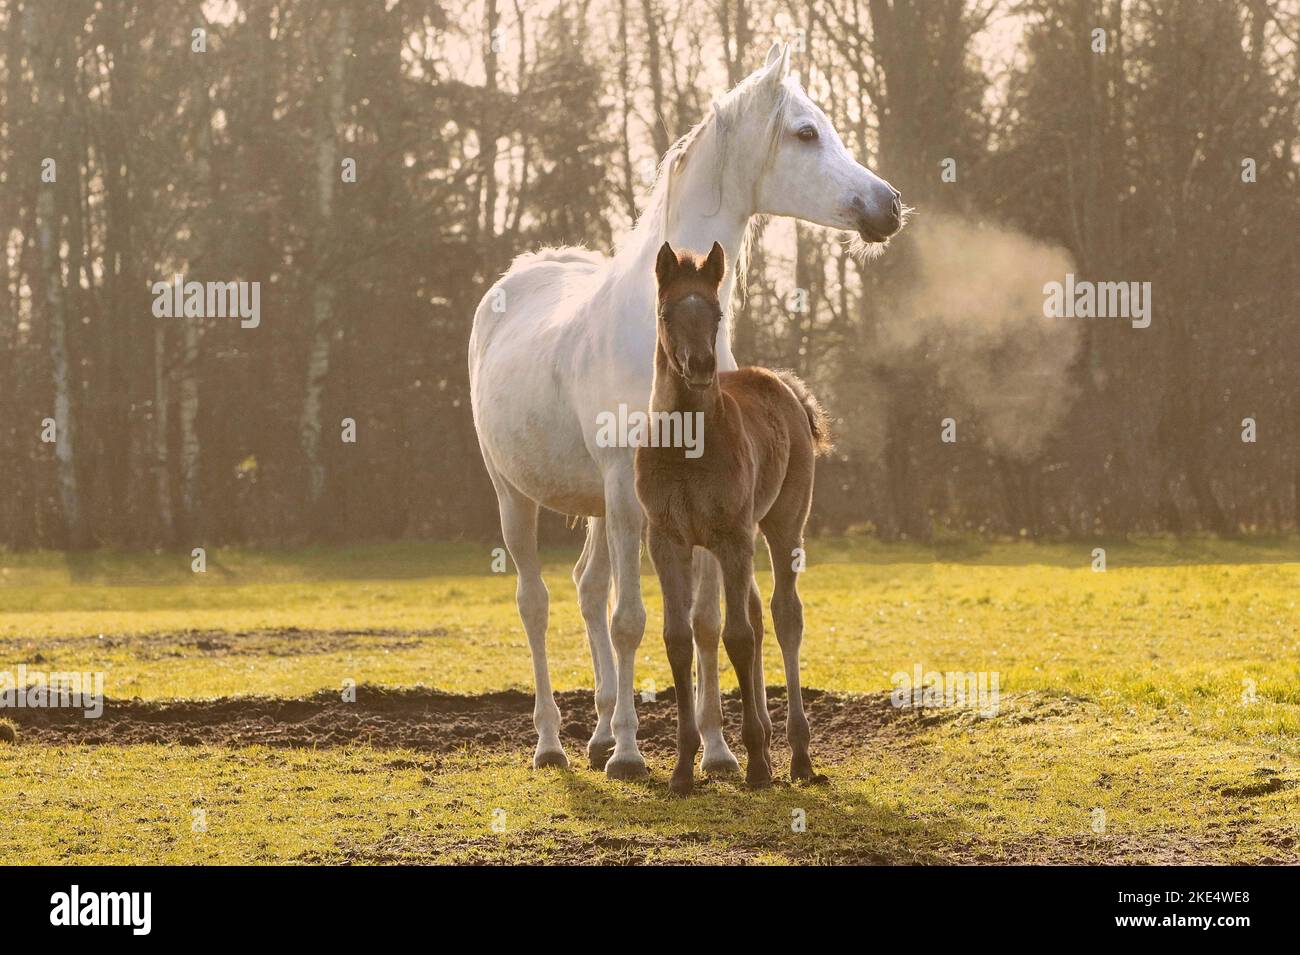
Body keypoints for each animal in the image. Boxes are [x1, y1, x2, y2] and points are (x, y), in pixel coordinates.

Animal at [635, 241, 831, 794]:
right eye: (666, 313)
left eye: (718, 313)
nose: (701, 364)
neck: (686, 446)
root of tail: (782, 383)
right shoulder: (667, 542)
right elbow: (679, 640)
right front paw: (683, 769)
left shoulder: (732, 538)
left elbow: (737, 637)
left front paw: (759, 767)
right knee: (760, 616)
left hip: (781, 525)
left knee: (785, 617)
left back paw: (798, 755)